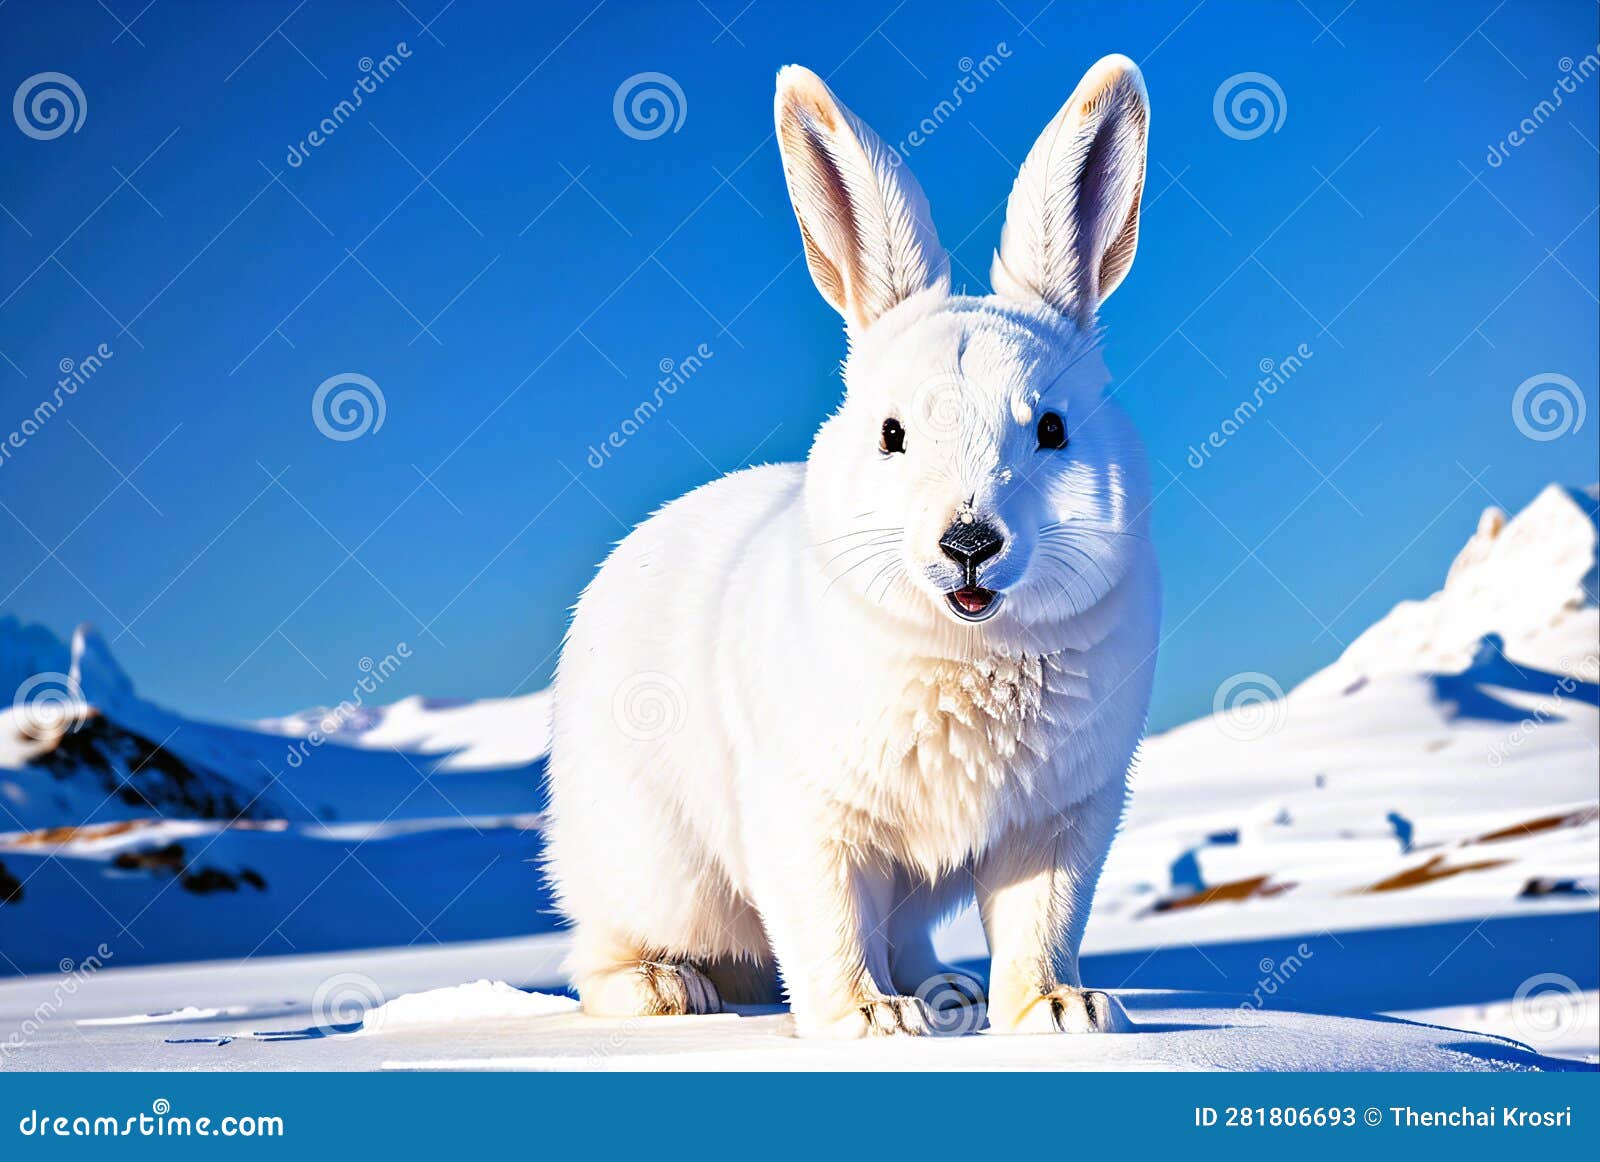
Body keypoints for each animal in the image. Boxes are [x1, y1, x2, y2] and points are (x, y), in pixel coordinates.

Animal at [544, 54, 1159, 1038]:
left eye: (1053, 429)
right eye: (892, 434)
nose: (970, 541)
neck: (969, 642)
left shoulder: (1062, 822)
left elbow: (1041, 921)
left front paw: (1063, 1012)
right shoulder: (809, 817)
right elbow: (826, 922)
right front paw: (869, 1023)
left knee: (911, 940)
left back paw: (952, 992)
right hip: (651, 865)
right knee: (604, 949)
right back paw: (665, 989)